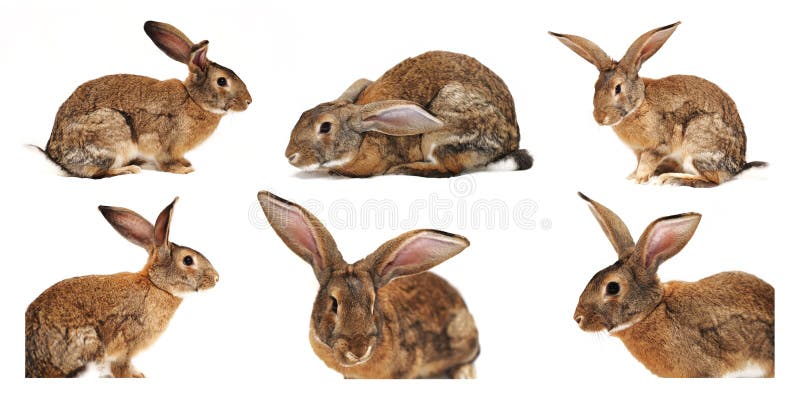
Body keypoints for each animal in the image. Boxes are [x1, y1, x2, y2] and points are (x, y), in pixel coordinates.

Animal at [25, 198, 219, 378]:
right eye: (188, 260)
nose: (217, 278)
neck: (155, 284)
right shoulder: (126, 343)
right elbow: (121, 365)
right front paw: (136, 377)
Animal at [40, 21, 251, 178]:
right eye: (222, 81)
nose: (249, 102)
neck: (194, 99)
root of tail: (55, 155)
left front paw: (186, 163)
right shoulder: (167, 145)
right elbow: (167, 163)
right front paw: (184, 170)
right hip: (113, 134)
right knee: (98, 172)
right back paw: (130, 169)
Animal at [286, 51, 532, 177]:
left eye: (325, 127)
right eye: (303, 114)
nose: (290, 155)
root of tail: (509, 145)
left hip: (441, 134)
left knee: (448, 169)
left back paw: (403, 169)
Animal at [550, 22, 766, 187]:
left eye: (618, 88)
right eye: (595, 86)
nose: (600, 119)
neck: (639, 104)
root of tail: (738, 164)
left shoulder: (657, 147)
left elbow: (647, 162)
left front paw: (638, 179)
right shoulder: (638, 151)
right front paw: (631, 176)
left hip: (697, 140)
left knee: (712, 179)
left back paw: (669, 179)